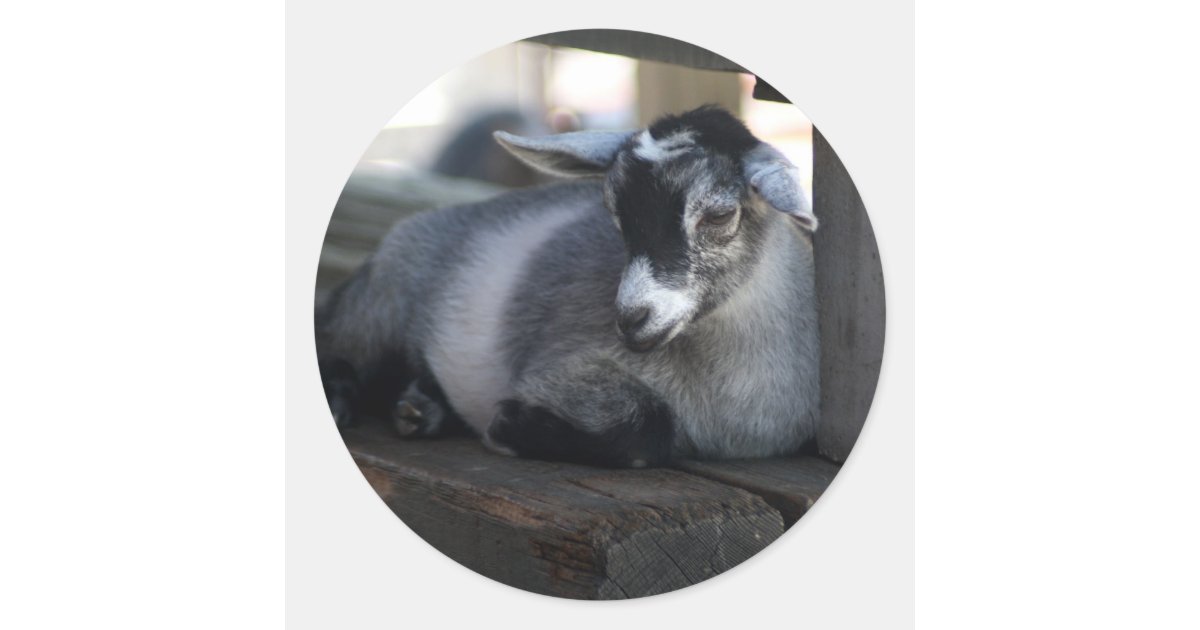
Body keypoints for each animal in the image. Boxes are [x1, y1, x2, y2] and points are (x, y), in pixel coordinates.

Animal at [316, 105, 820, 467]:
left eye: (719, 215)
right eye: (614, 212)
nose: (631, 318)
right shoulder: (562, 369)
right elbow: (648, 430)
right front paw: (508, 427)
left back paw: (421, 408)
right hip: (381, 302)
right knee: (338, 348)